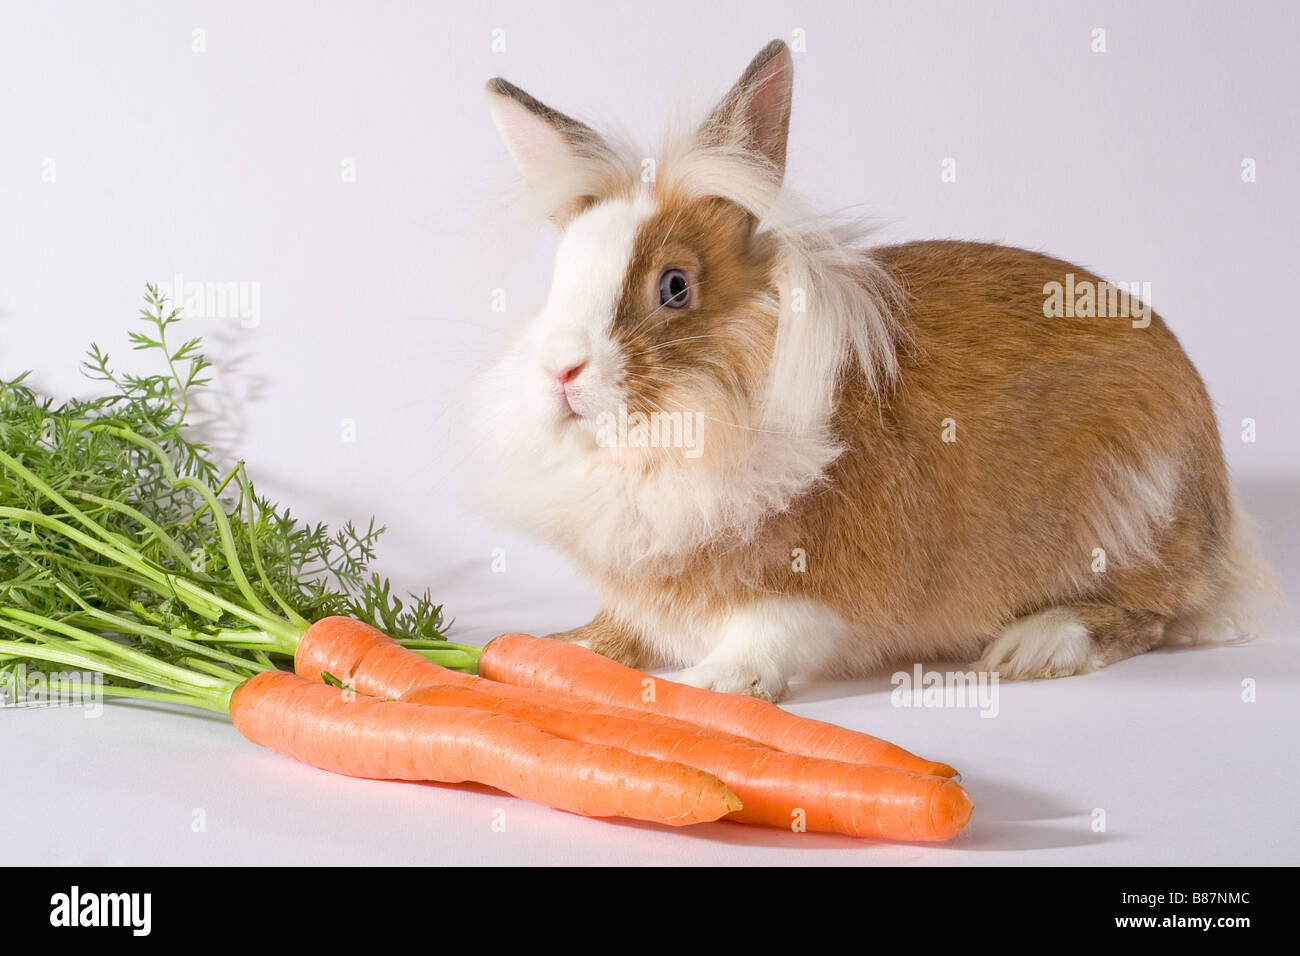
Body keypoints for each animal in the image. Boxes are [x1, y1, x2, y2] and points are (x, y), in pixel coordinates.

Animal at [463, 39, 1272, 702]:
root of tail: (1217, 502)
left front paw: (714, 683)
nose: (561, 372)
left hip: (1131, 515)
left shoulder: (820, 578)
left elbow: (771, 631)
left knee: (1156, 612)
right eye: (560, 277)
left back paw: (1034, 646)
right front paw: (559, 646)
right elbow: (623, 626)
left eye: (674, 286)